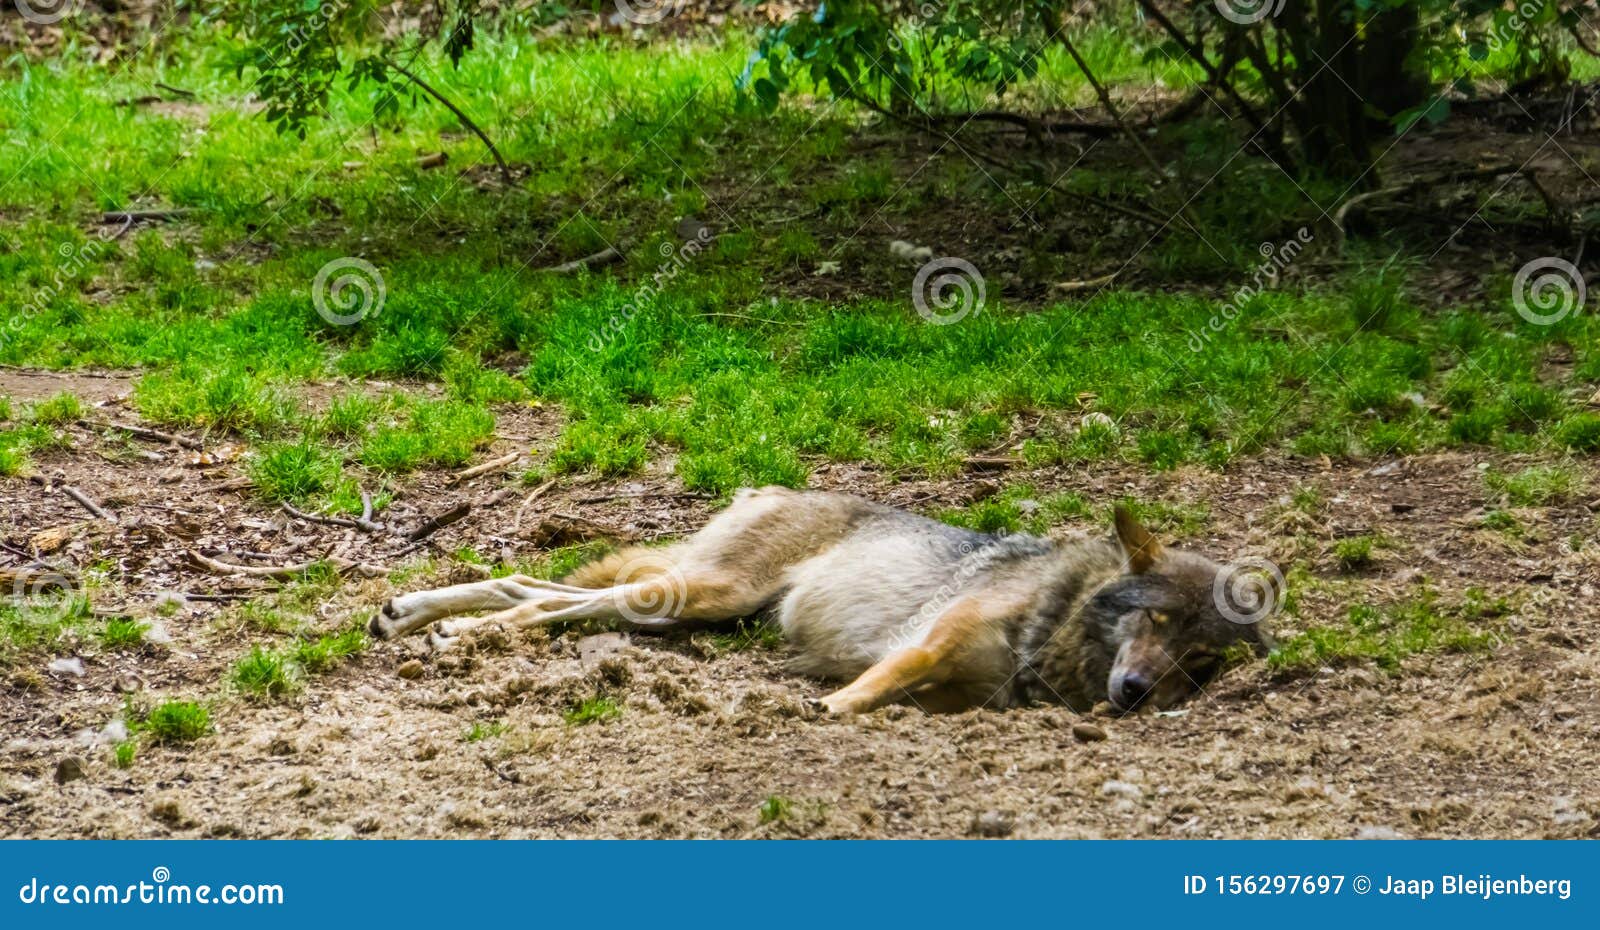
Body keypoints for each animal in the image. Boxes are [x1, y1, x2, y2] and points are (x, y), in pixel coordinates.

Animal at [371, 486, 1275, 714]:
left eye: (1199, 660)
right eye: (1154, 618)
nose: (1135, 693)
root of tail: (770, 485)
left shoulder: (958, 695)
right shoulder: (925, 647)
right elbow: (873, 686)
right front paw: (824, 710)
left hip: (682, 603)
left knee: (536, 587)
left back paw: (419, 618)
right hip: (699, 594)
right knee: (541, 603)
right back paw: (462, 635)